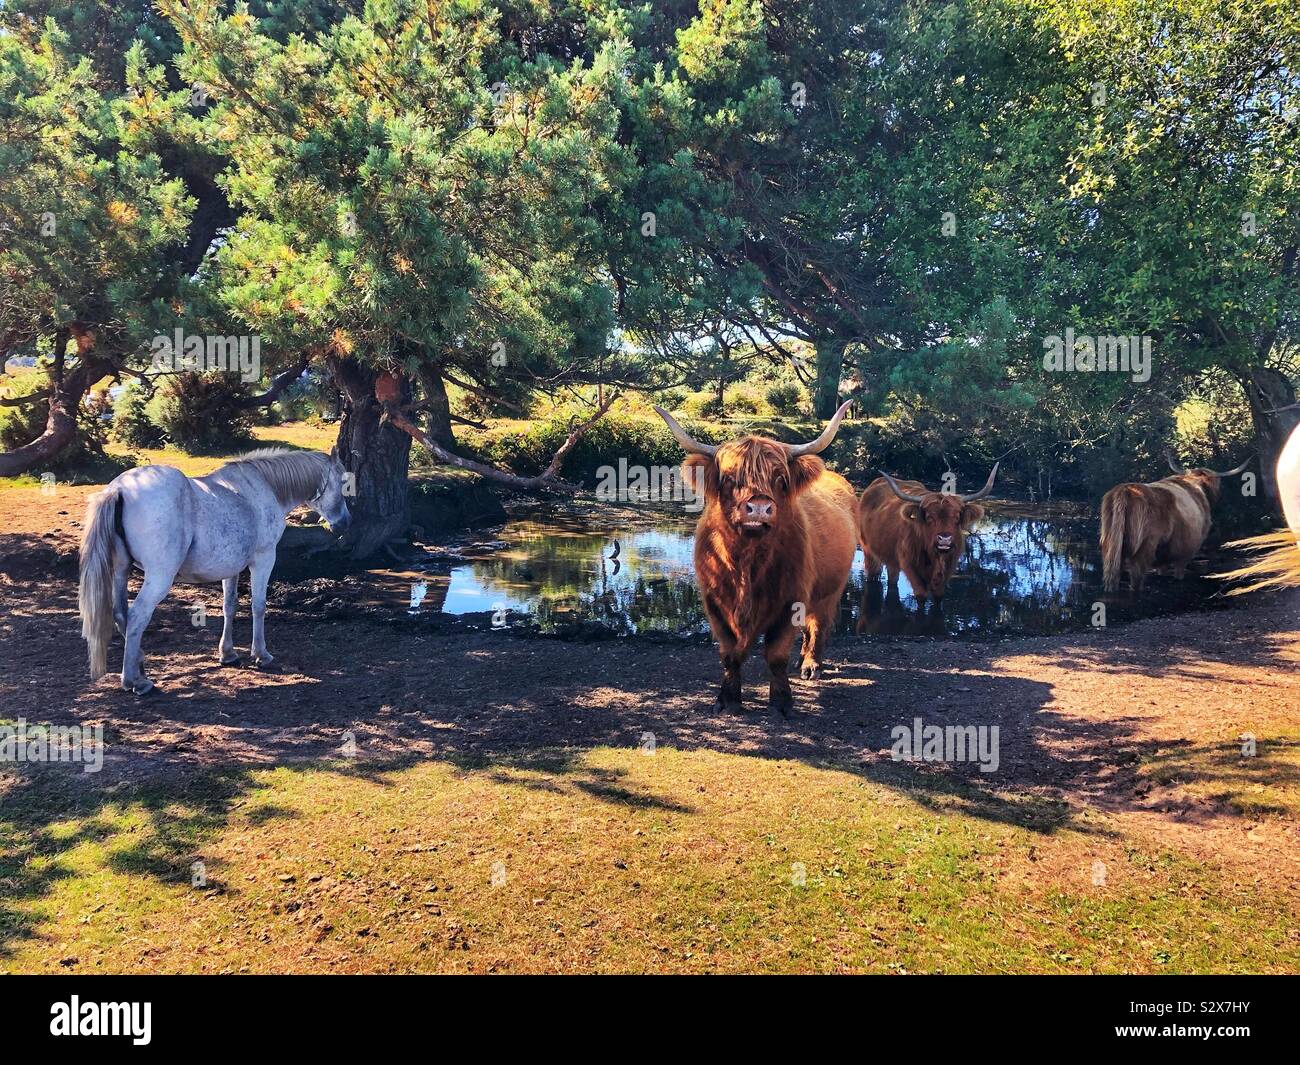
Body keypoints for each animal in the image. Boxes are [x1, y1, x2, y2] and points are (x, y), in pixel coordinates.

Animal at [78, 447, 351, 694]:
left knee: (121, 615)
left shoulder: (231, 568)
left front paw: (227, 653)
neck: (262, 488)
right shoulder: (263, 559)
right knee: (136, 618)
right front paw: (261, 654)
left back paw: (140, 669)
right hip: (158, 578)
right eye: (342, 482)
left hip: (121, 572)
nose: (344, 523)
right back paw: (134, 681)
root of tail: (119, 490)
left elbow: (229, 606)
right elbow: (258, 606)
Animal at [653, 400, 857, 716]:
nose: (759, 508)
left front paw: (782, 702)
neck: (747, 564)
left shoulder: (791, 600)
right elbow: (730, 655)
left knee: (817, 624)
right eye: (729, 478)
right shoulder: (714, 604)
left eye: (780, 479)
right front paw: (728, 700)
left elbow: (776, 654)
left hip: (831, 589)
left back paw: (811, 665)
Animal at [856, 466, 998, 608]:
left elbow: (938, 596)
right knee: (872, 574)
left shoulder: (947, 569)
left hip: (891, 559)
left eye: (957, 516)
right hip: (868, 551)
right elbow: (921, 596)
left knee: (892, 580)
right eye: (930, 517)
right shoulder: (911, 568)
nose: (944, 539)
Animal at [1099, 452, 1251, 593]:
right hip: (1146, 544)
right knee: (1137, 573)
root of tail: (1125, 490)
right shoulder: (1188, 544)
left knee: (1112, 573)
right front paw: (1178, 578)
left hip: (1111, 544)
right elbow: (1179, 566)